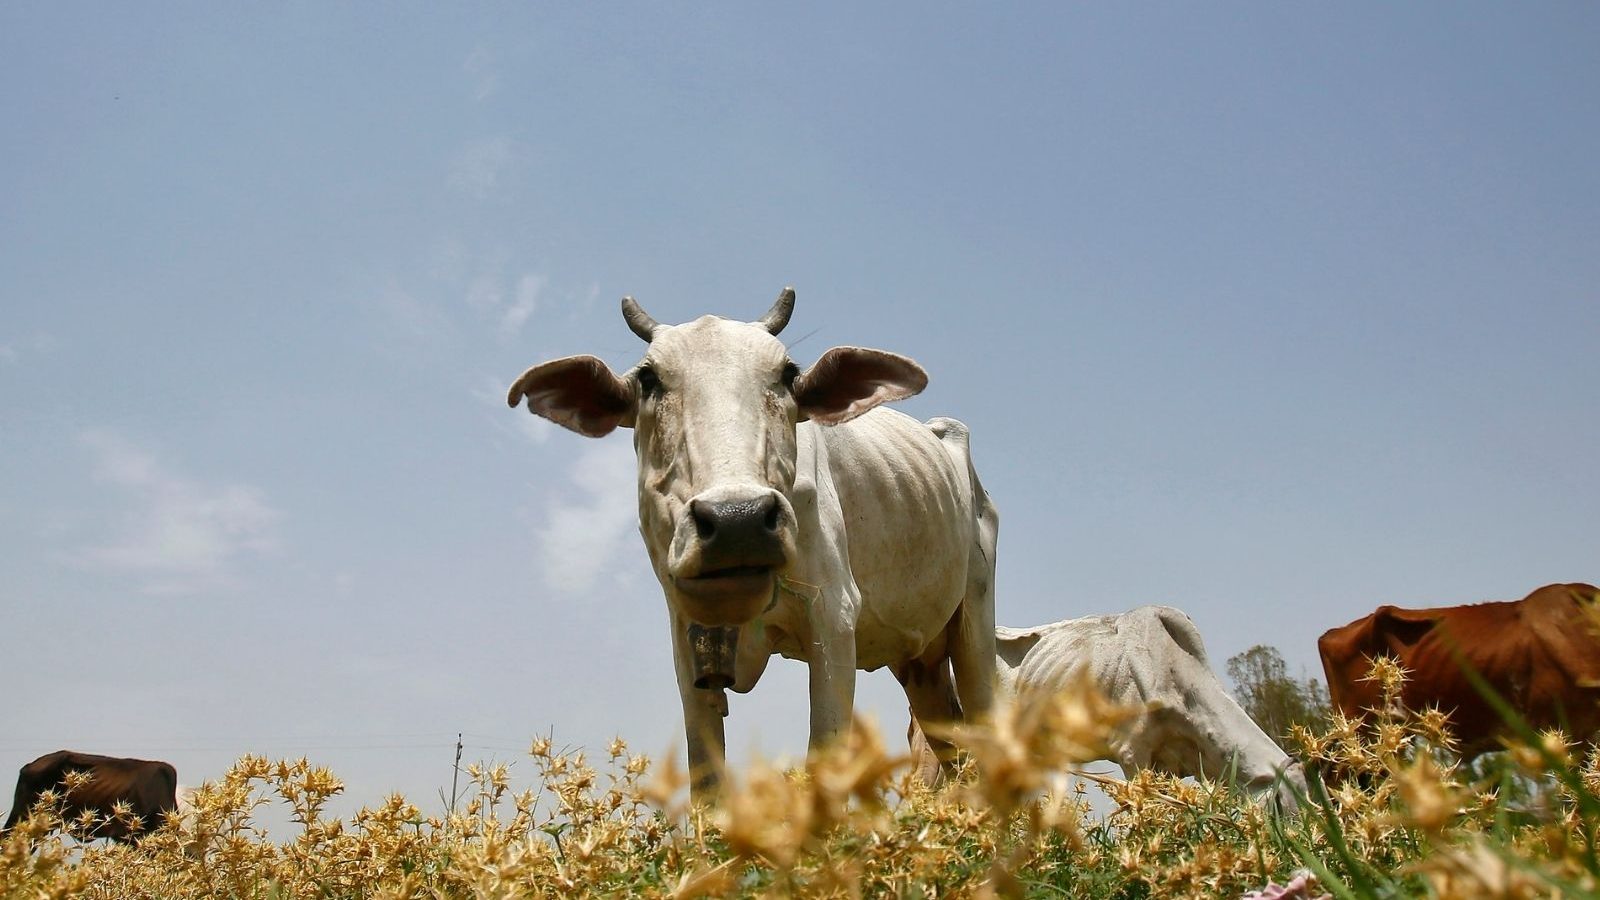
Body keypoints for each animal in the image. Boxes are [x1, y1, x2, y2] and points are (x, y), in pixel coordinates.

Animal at [508, 288, 998, 800]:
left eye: (787, 375)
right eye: (648, 379)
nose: (736, 522)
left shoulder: (835, 618)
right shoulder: (687, 639)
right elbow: (706, 778)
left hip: (975, 622)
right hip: (920, 659)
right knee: (952, 744)